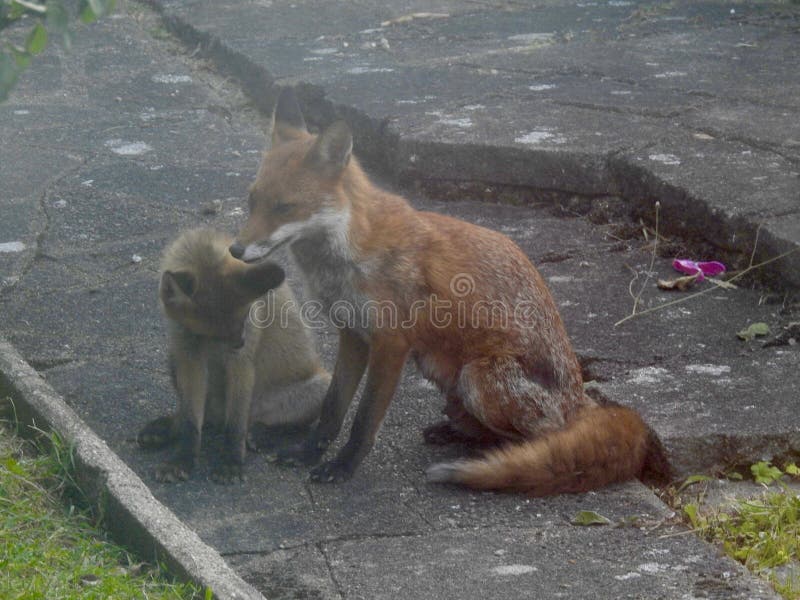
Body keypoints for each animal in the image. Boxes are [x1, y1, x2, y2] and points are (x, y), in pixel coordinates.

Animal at [138, 228, 330, 484]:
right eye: (213, 334)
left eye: (244, 318)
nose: (239, 343)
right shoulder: (187, 354)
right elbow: (190, 422)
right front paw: (183, 460)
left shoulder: (241, 363)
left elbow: (235, 426)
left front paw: (231, 462)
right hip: (173, 361)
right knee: (202, 417)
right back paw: (168, 428)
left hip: (320, 388)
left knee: (262, 423)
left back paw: (262, 434)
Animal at [228, 88, 672, 495]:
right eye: (252, 201)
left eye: (284, 208)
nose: (235, 250)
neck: (347, 254)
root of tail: (579, 400)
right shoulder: (352, 333)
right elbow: (333, 407)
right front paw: (308, 452)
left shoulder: (391, 342)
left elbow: (363, 419)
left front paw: (343, 467)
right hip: (440, 370)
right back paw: (456, 433)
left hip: (478, 378)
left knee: (545, 439)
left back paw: (497, 455)